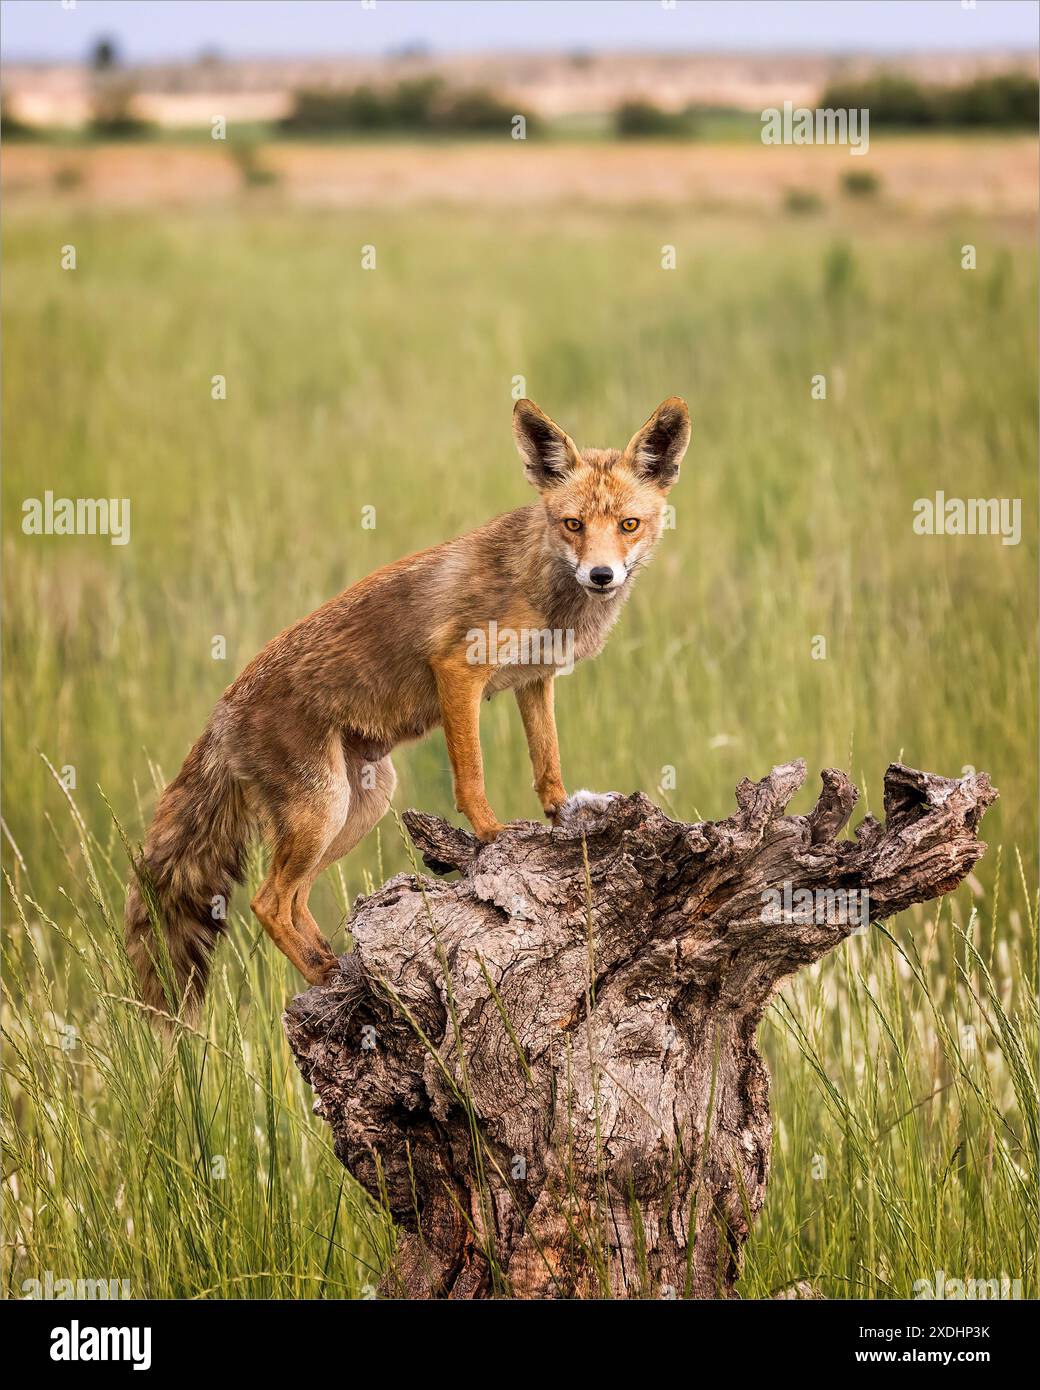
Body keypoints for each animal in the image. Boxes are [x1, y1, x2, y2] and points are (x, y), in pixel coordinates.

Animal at [125, 396, 691, 1017]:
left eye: (628, 525)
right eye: (574, 525)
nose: (602, 575)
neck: (545, 588)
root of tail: (221, 713)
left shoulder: (535, 680)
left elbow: (548, 764)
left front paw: (563, 814)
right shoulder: (459, 670)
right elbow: (471, 775)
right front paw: (492, 836)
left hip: (359, 805)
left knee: (294, 898)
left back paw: (335, 967)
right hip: (324, 809)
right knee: (267, 902)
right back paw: (325, 975)